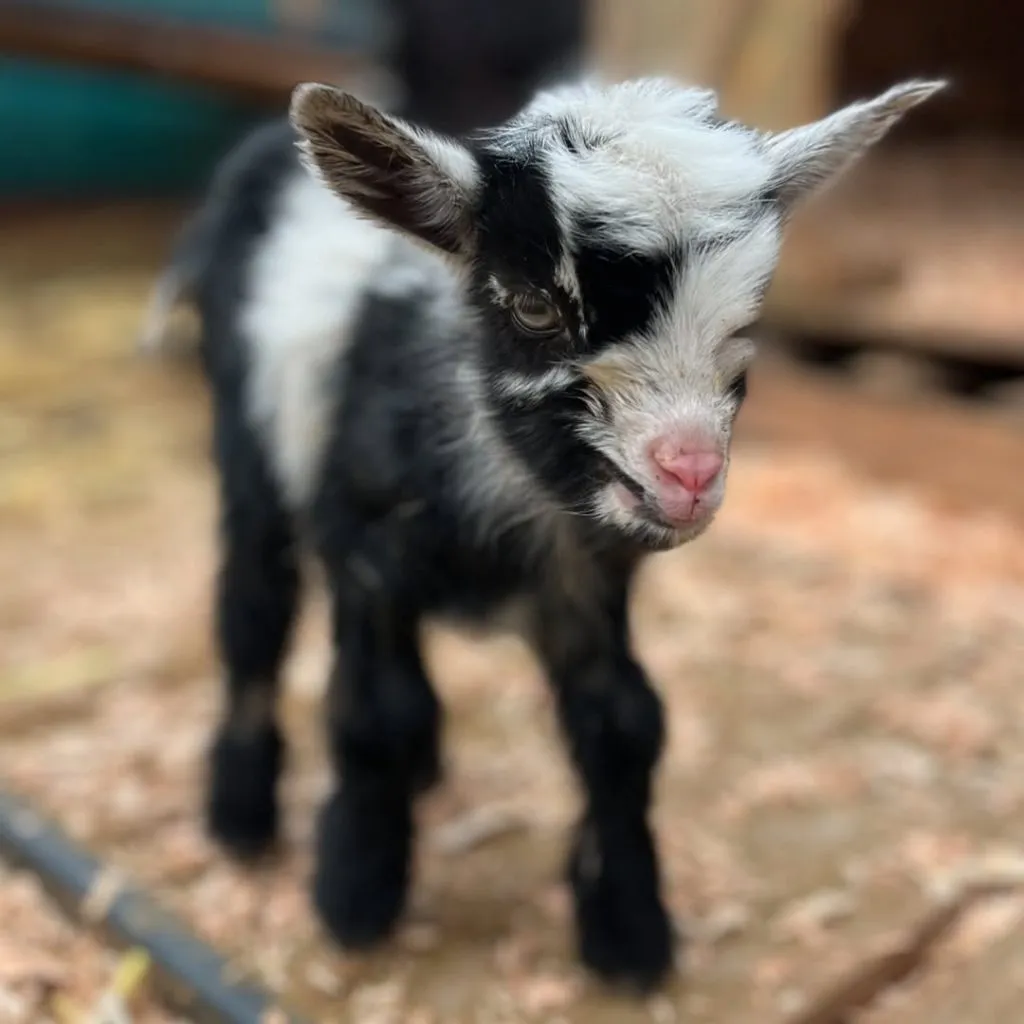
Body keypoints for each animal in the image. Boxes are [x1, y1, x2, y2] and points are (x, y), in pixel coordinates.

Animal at [144, 73, 942, 989]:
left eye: (747, 318)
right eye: (533, 305)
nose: (690, 472)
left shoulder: (585, 586)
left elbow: (623, 726)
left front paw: (629, 932)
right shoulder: (365, 557)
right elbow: (371, 714)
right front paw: (356, 894)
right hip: (250, 443)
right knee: (253, 607)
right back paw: (240, 815)